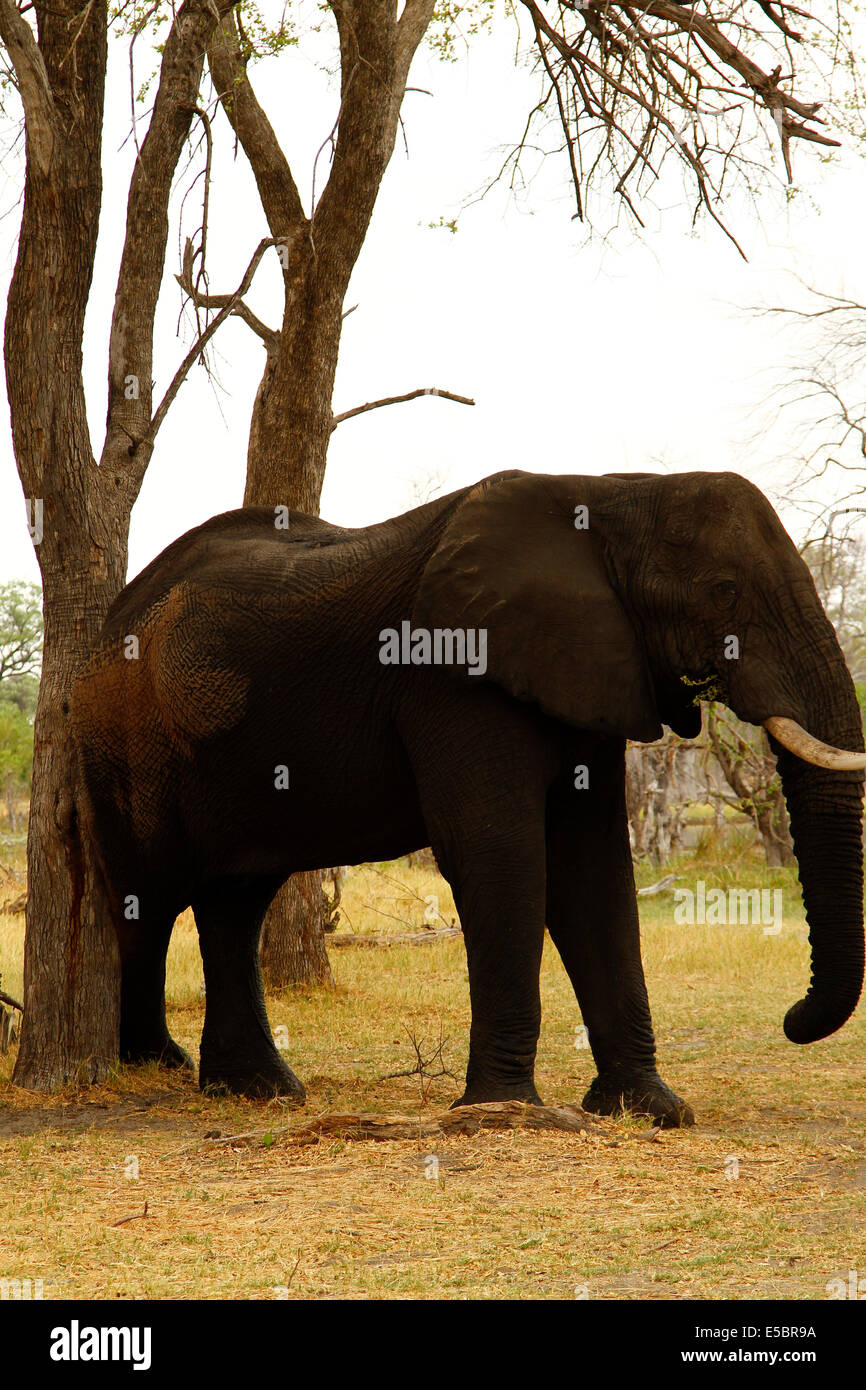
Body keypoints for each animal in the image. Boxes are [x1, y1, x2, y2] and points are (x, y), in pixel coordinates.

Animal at [71, 469, 866, 1126]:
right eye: (724, 592)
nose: (793, 1018)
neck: (613, 491)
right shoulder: (454, 675)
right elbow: (500, 853)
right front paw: (502, 1110)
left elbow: (592, 866)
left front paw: (650, 1111)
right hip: (122, 742)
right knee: (148, 898)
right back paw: (152, 1066)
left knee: (235, 903)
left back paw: (258, 1090)